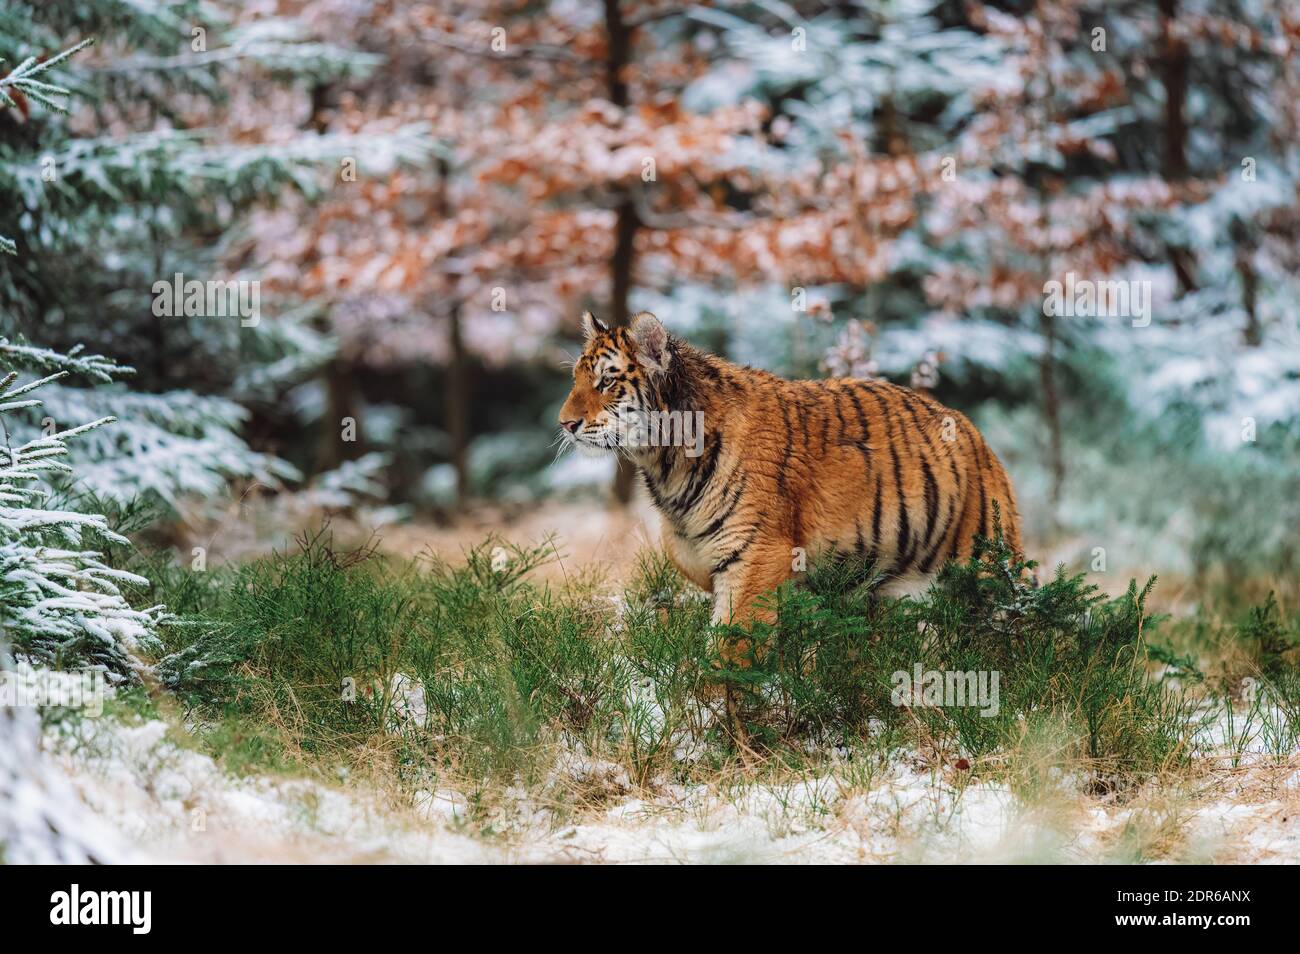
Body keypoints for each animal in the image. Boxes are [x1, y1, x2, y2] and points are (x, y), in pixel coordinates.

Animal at [559, 310, 1024, 633]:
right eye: (576, 379)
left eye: (606, 381)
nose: (565, 424)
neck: (665, 463)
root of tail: (977, 436)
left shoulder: (757, 554)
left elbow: (729, 647)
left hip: (990, 571)